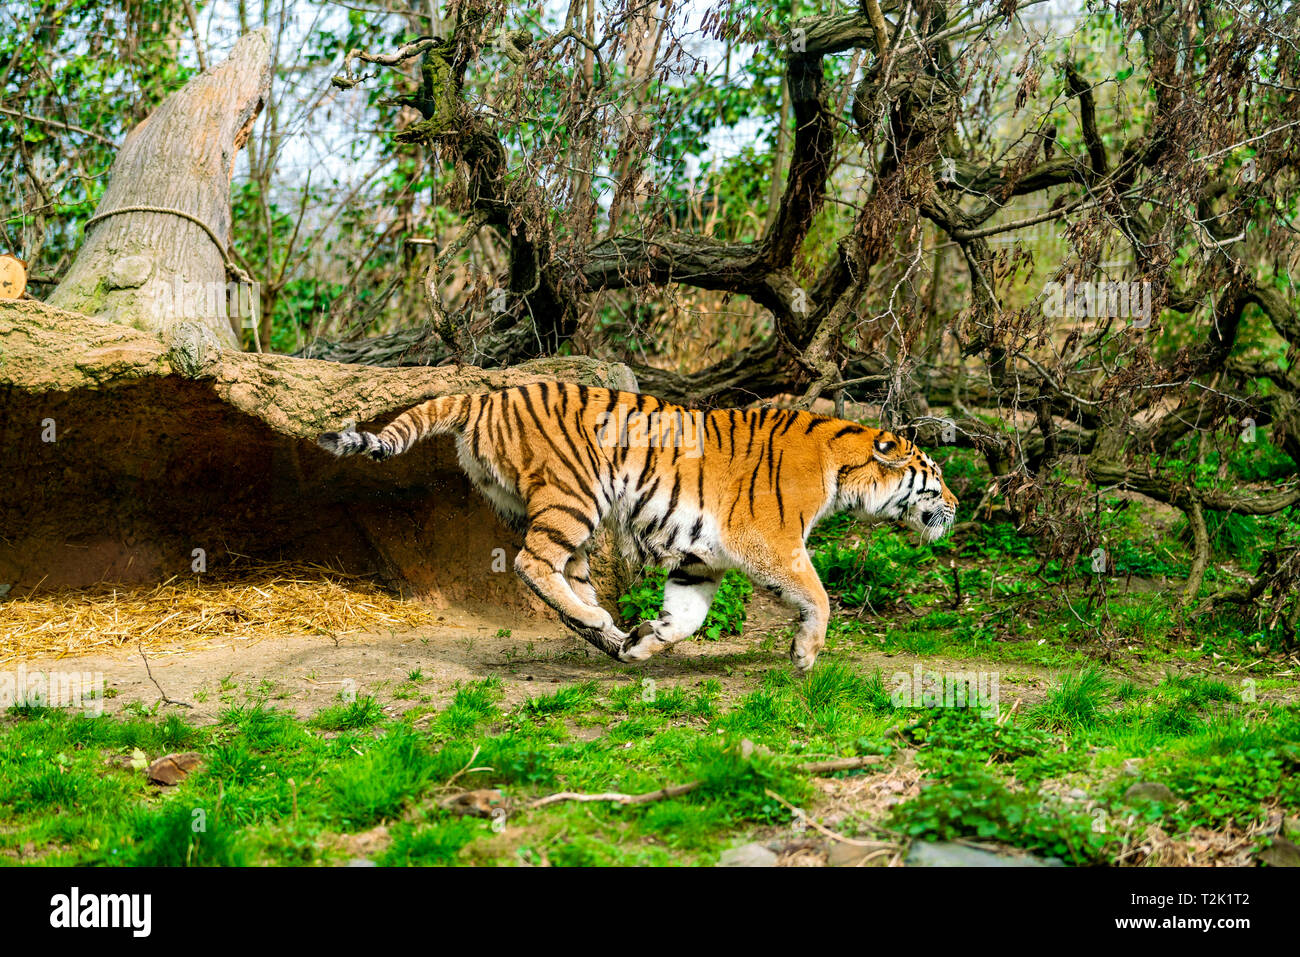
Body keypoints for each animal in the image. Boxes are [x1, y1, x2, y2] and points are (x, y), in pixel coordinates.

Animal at [317, 381, 958, 671]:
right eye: (935, 474)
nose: (957, 505)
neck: (843, 469)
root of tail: (483, 396)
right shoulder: (769, 542)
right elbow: (819, 596)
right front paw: (806, 655)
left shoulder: (700, 560)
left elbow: (687, 619)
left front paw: (649, 643)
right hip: (574, 495)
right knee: (530, 564)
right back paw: (603, 624)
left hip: (559, 516)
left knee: (562, 577)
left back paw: (608, 633)